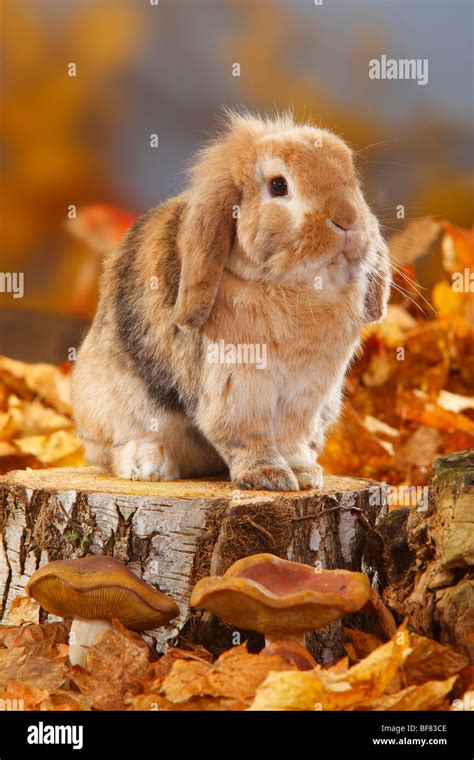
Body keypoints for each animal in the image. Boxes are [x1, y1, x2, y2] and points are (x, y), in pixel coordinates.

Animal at [72, 111, 391, 491]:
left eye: (351, 179)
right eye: (278, 186)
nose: (347, 220)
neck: (296, 288)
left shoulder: (306, 393)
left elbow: (290, 438)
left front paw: (303, 475)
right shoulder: (238, 382)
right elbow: (246, 434)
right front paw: (268, 477)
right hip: (114, 410)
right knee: (114, 450)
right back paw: (149, 464)